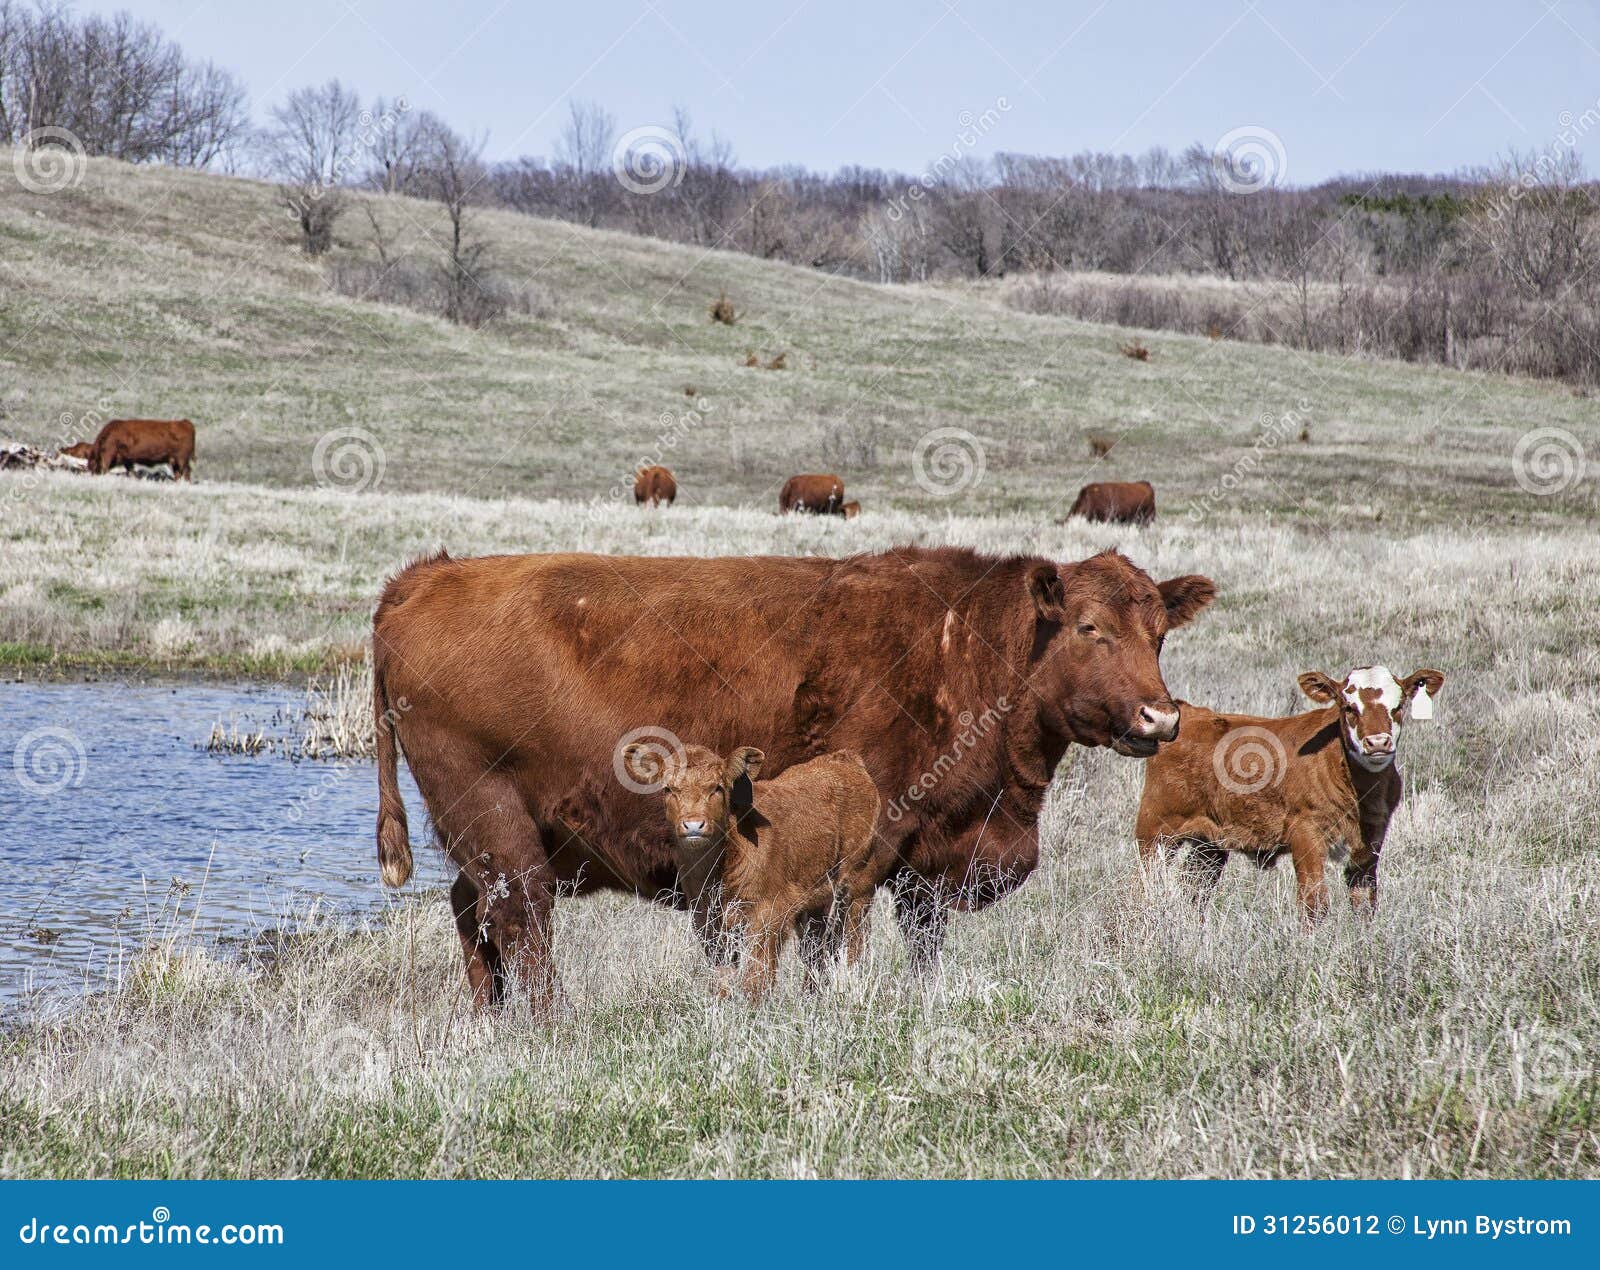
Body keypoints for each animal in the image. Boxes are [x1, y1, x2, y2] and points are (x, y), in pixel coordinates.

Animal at [626, 742, 881, 1002]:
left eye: (717, 788)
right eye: (669, 789)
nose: (694, 825)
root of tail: (843, 759)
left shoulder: (769, 912)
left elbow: (756, 974)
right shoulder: (706, 917)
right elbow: (722, 976)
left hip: (857, 883)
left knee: (854, 940)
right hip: (816, 896)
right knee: (815, 948)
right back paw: (811, 996)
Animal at [1135, 665, 1445, 923]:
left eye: (1398, 706)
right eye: (1348, 707)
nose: (1378, 742)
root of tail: (1188, 713)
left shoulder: (1371, 842)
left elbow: (1364, 905)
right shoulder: (1305, 833)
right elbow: (1314, 904)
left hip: (1209, 843)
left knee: (1195, 890)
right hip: (1155, 830)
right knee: (1145, 886)